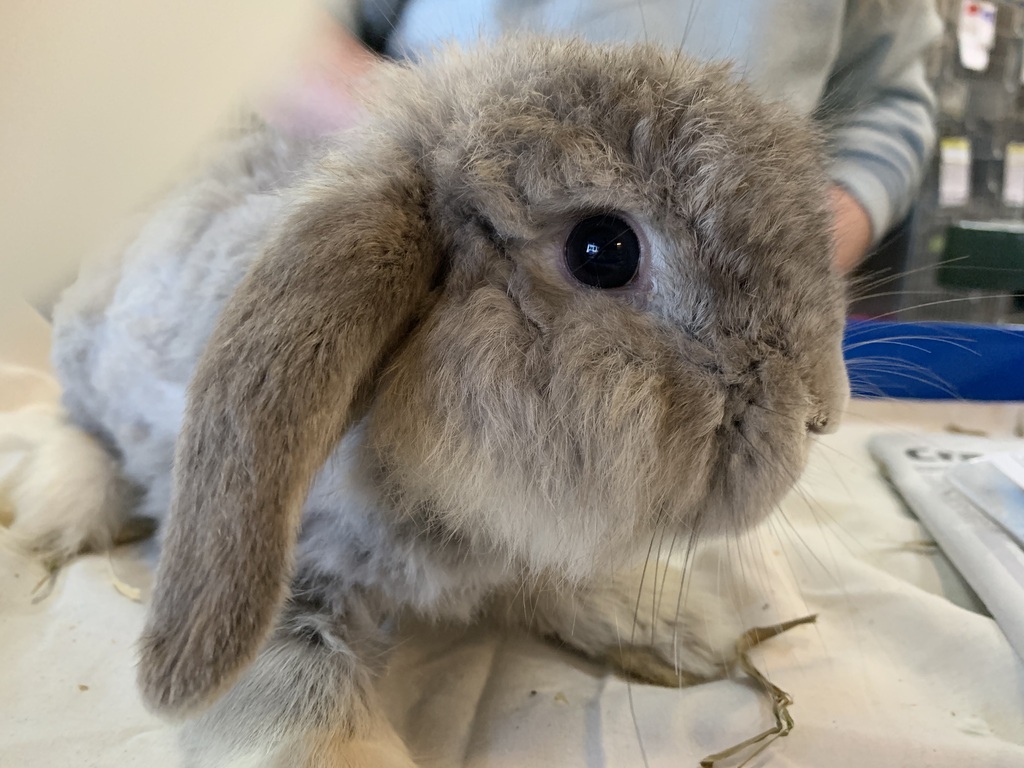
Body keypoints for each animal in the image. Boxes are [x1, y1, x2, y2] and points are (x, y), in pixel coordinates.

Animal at [21, 36, 849, 767]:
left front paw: (688, 631)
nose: (822, 414)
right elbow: (300, 687)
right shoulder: (291, 574)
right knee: (78, 425)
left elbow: (558, 570)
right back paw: (54, 511)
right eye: (604, 250)